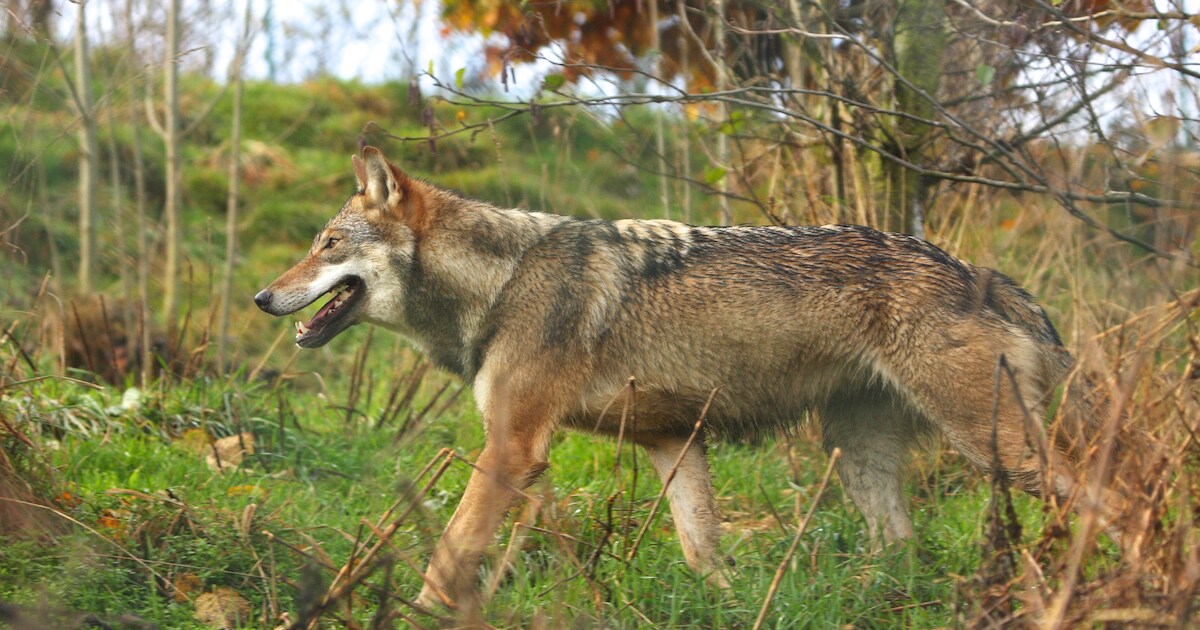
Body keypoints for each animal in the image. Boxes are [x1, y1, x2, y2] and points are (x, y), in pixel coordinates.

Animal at [255, 147, 1112, 611]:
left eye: (327, 244)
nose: (265, 297)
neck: (502, 281)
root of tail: (987, 279)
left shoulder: (512, 451)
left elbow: (450, 551)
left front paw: (420, 612)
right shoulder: (673, 443)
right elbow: (706, 556)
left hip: (996, 449)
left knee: (1099, 500)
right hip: (860, 454)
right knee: (899, 544)